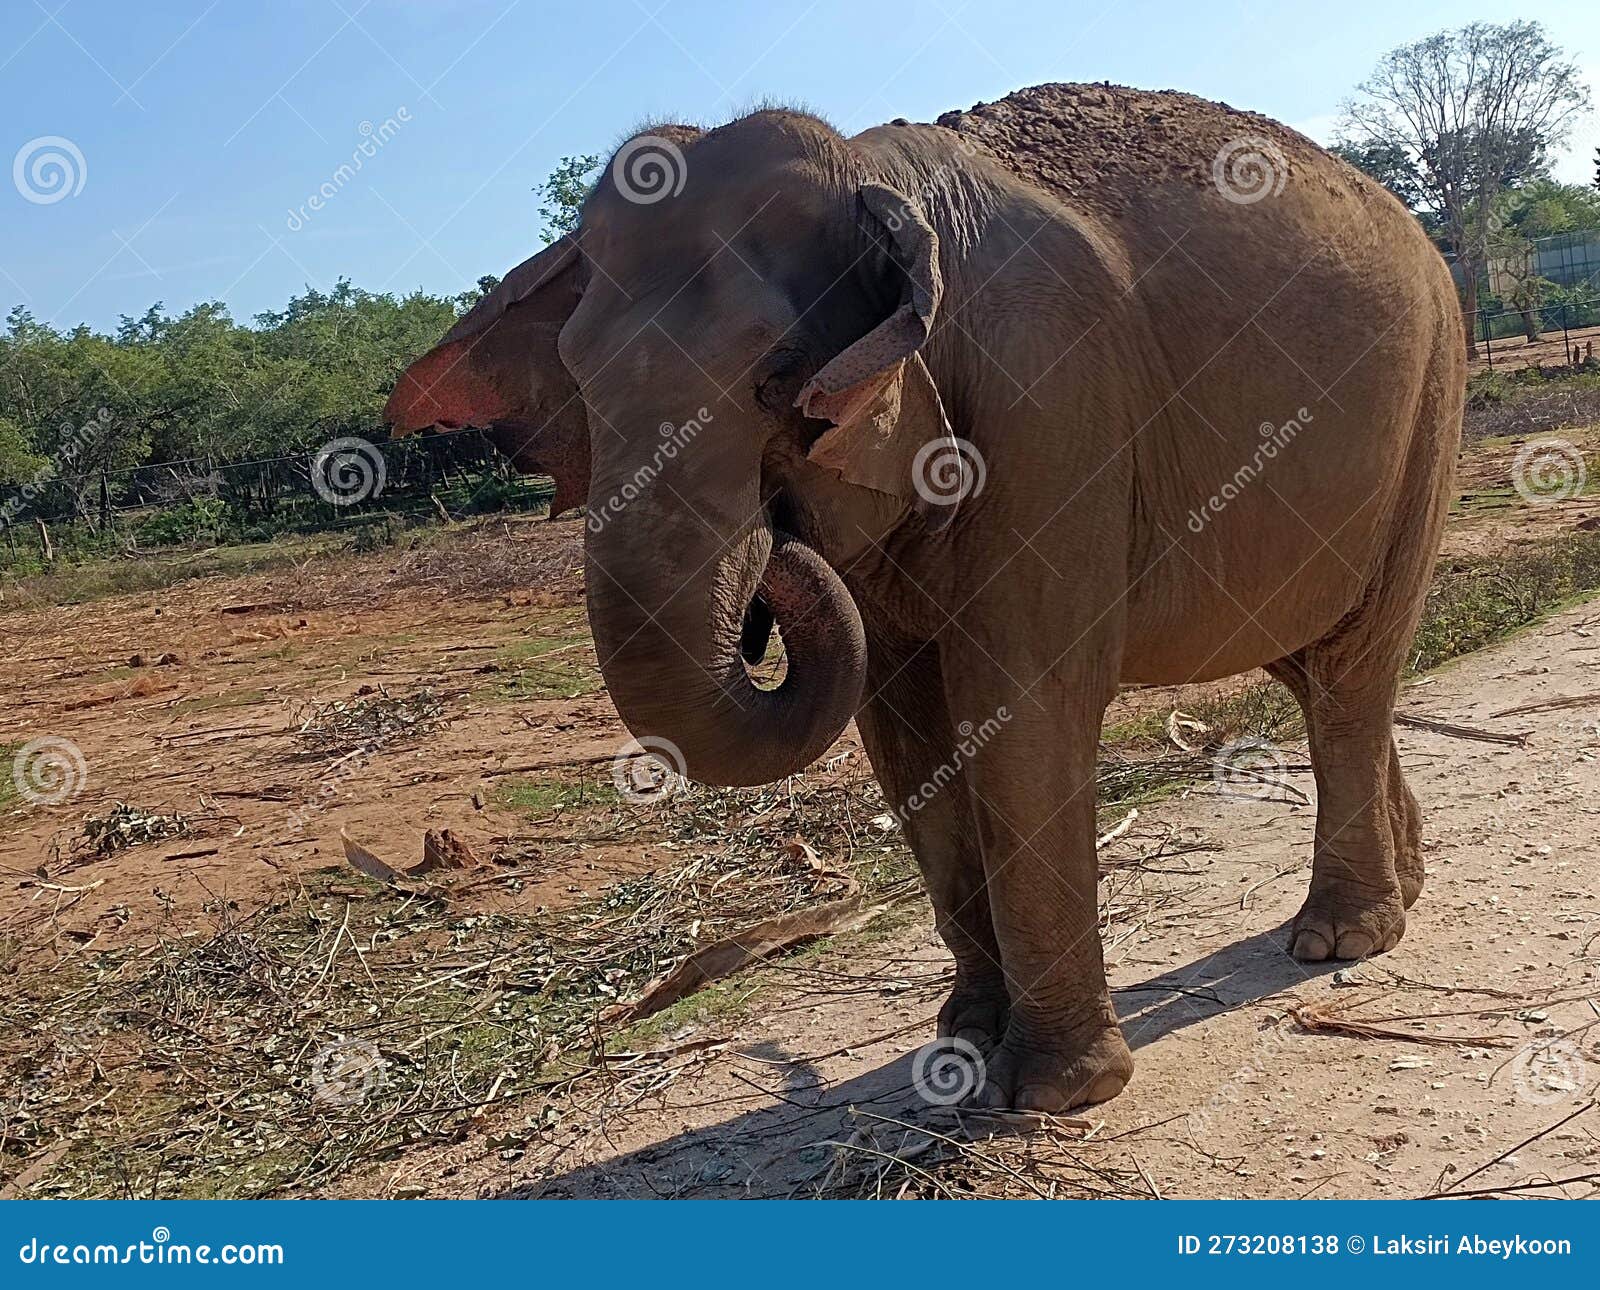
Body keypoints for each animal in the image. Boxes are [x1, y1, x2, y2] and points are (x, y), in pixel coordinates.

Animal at [386, 84, 1463, 1111]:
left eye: (778, 379)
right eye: (577, 379)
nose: (774, 550)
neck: (872, 174)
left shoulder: (1051, 399)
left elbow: (1020, 703)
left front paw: (1052, 1092)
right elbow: (902, 729)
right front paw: (964, 1047)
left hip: (1432, 405)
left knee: (1352, 669)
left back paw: (1341, 939)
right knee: (1311, 667)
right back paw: (1404, 885)